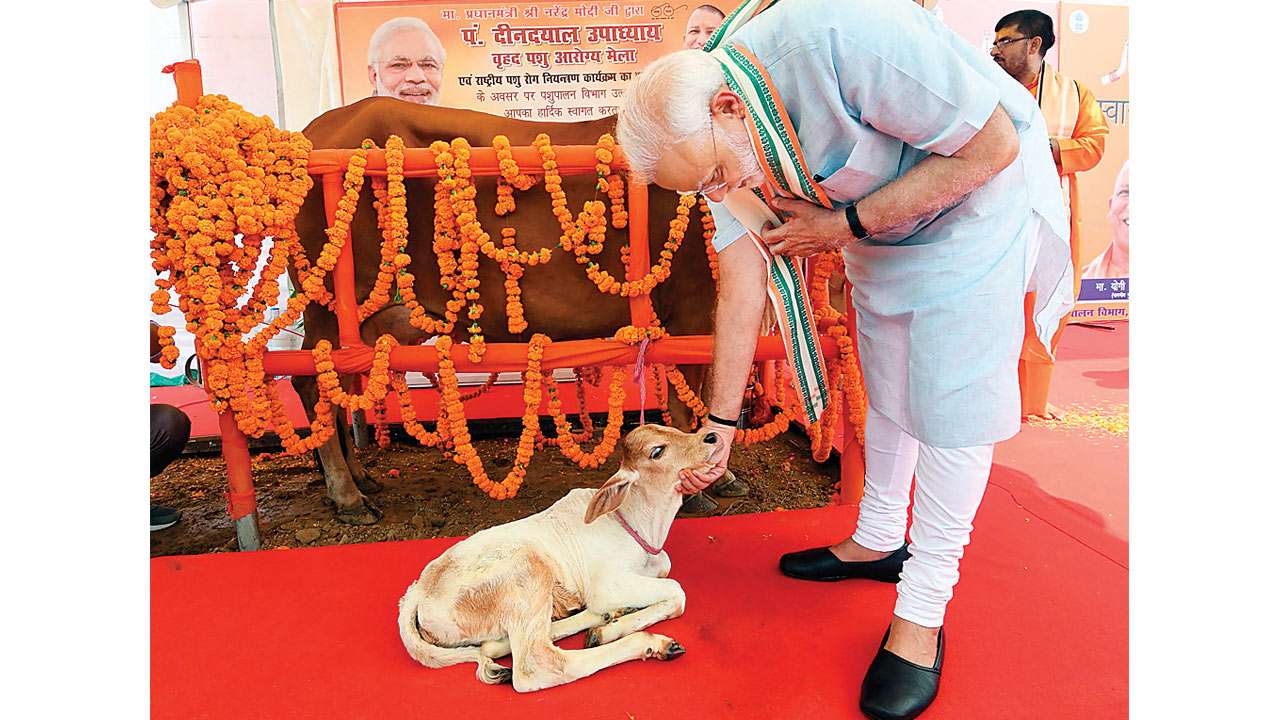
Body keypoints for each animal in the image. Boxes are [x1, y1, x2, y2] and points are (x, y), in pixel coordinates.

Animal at [291, 97, 754, 524]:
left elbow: (710, 390)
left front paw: (722, 475)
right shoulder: (693, 304)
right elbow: (688, 400)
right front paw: (696, 488)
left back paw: (358, 478)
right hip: (330, 305)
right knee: (313, 383)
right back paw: (347, 495)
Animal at [396, 423, 709, 691]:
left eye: (675, 430)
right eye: (657, 451)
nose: (710, 437)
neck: (637, 526)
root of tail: (416, 591)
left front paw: (612, 621)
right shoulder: (604, 586)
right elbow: (677, 592)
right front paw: (616, 627)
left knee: (494, 646)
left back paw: (607, 618)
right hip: (527, 573)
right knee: (539, 665)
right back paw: (650, 642)